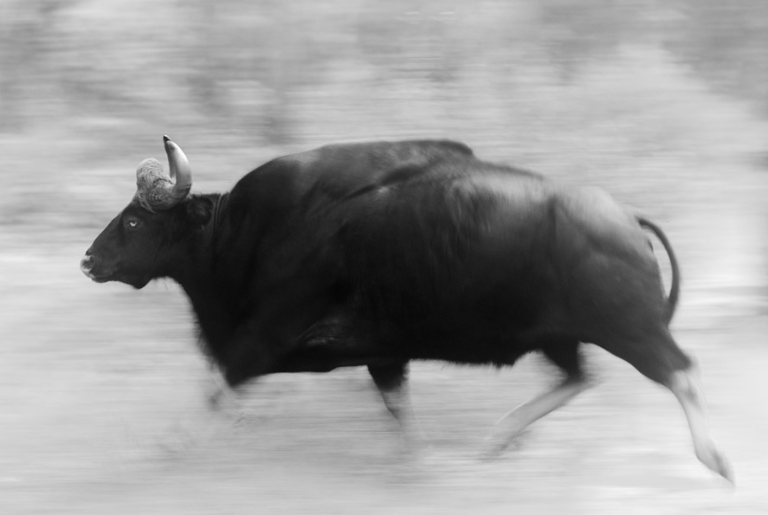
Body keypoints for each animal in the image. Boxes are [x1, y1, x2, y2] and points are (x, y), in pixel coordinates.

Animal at [81, 136, 731, 481]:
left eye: (134, 219)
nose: (89, 259)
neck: (243, 235)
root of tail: (626, 219)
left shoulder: (262, 339)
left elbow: (216, 390)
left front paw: (166, 451)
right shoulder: (383, 355)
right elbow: (401, 411)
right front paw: (423, 466)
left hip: (632, 330)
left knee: (681, 371)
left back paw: (717, 458)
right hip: (562, 338)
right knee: (579, 378)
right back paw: (496, 441)